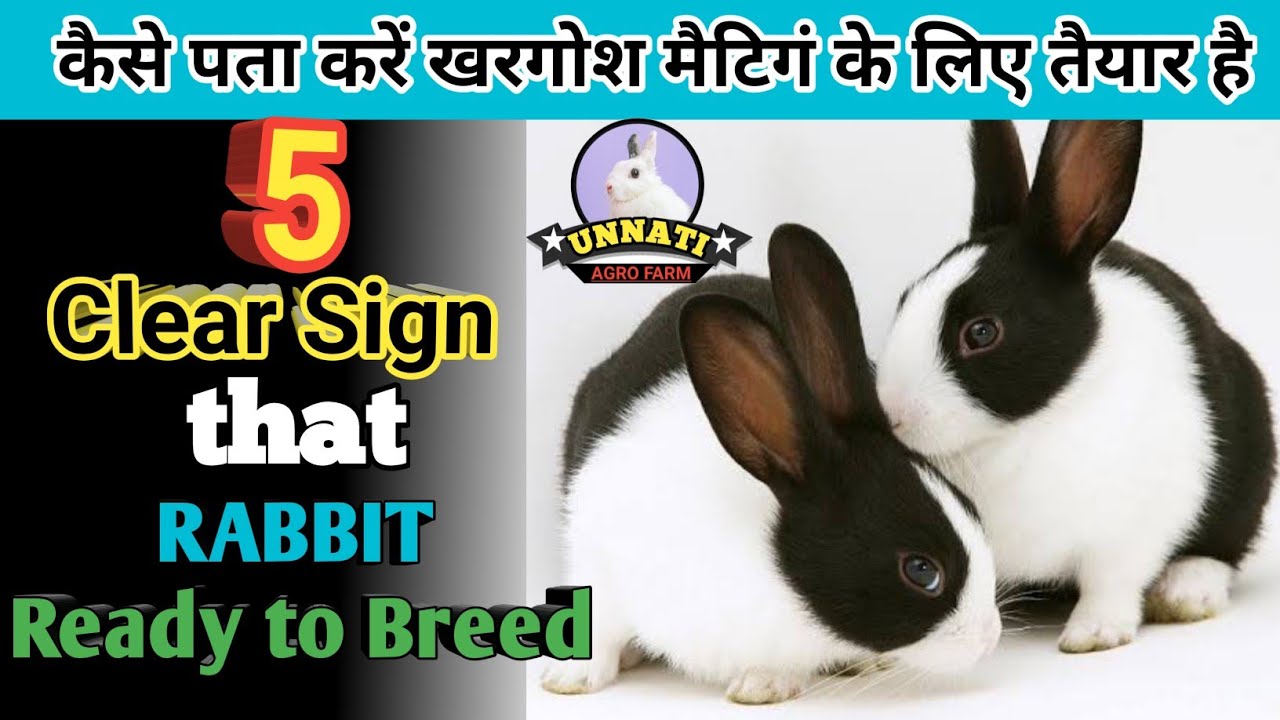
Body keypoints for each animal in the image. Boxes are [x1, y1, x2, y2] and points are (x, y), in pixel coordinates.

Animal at [542, 223, 1001, 705]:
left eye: (972, 510)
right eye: (921, 570)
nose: (989, 638)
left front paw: (763, 685)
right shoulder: (595, 550)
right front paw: (570, 678)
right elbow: (599, 624)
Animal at [876, 120, 1277, 654]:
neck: (1021, 433)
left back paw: (1185, 593)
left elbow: (1111, 583)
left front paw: (1094, 634)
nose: (892, 411)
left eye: (981, 332)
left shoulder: (1130, 533)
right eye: (905, 299)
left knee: (1223, 549)